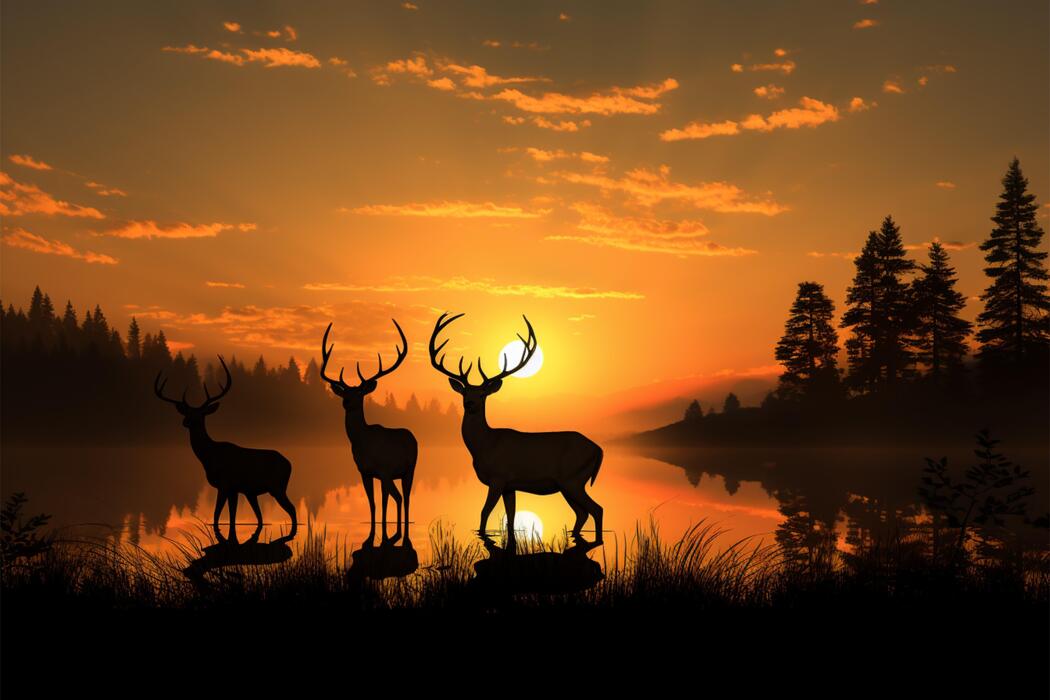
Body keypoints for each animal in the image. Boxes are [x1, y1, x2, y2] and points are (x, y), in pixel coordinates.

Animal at [154, 356, 298, 543]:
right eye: (187, 413)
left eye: (201, 414)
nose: (186, 422)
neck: (209, 456)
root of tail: (289, 464)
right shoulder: (227, 487)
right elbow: (217, 517)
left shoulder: (229, 485)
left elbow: (227, 518)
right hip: (255, 492)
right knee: (261, 518)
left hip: (277, 486)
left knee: (292, 509)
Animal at [320, 321, 418, 546]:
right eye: (345, 393)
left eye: (359, 392)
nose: (347, 402)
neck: (362, 443)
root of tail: (413, 436)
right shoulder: (365, 472)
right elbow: (372, 503)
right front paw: (373, 531)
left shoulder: (384, 469)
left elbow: (384, 501)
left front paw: (383, 532)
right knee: (396, 497)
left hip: (409, 470)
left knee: (405, 497)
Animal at [428, 312, 604, 546]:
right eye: (464, 392)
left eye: (483, 394)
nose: (470, 404)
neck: (485, 445)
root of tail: (598, 450)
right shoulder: (510, 486)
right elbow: (510, 518)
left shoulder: (498, 477)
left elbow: (484, 513)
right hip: (569, 484)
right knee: (583, 513)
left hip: (573, 479)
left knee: (596, 509)